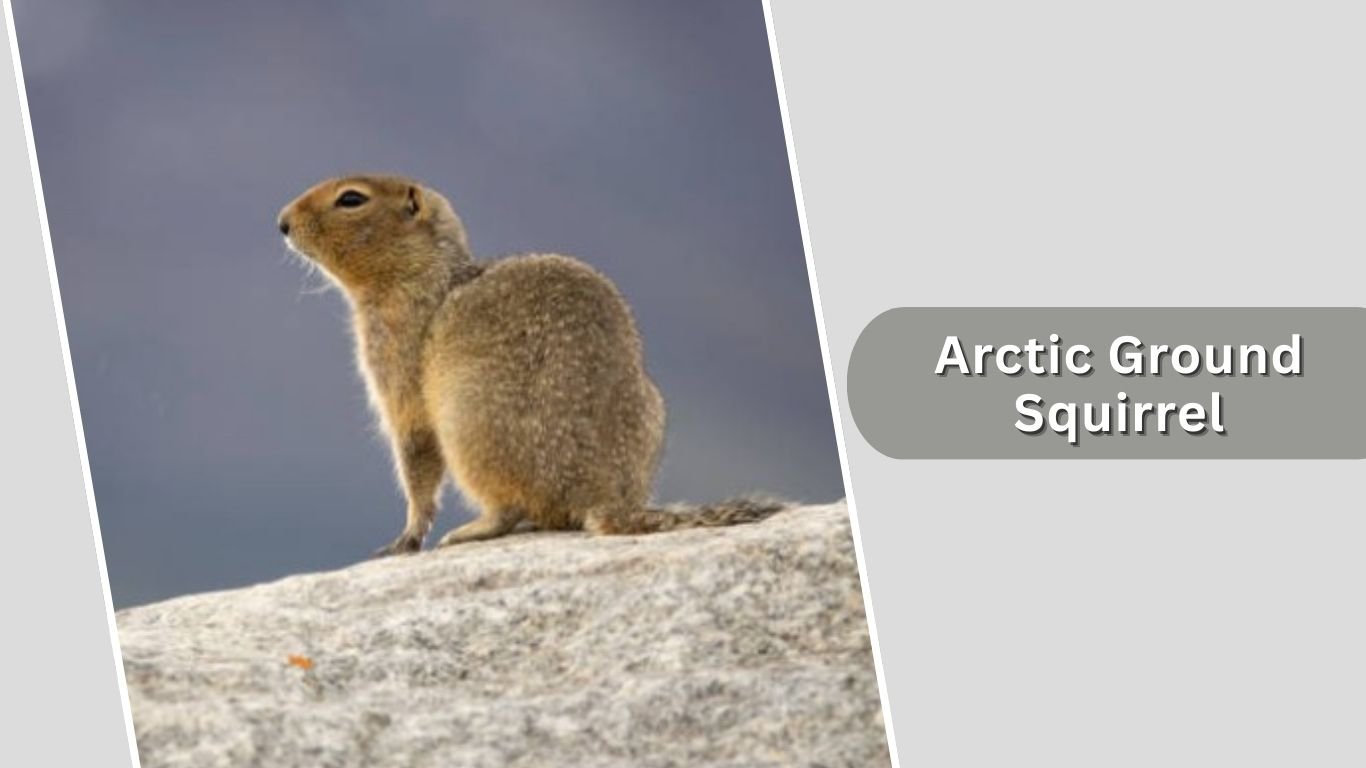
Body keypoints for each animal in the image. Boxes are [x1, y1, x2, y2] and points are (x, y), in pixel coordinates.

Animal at [277, 174, 786, 555]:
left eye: (351, 198)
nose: (281, 222)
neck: (423, 273)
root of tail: (604, 495)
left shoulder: (395, 358)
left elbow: (415, 447)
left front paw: (404, 538)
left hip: (467, 418)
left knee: (509, 507)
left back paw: (470, 530)